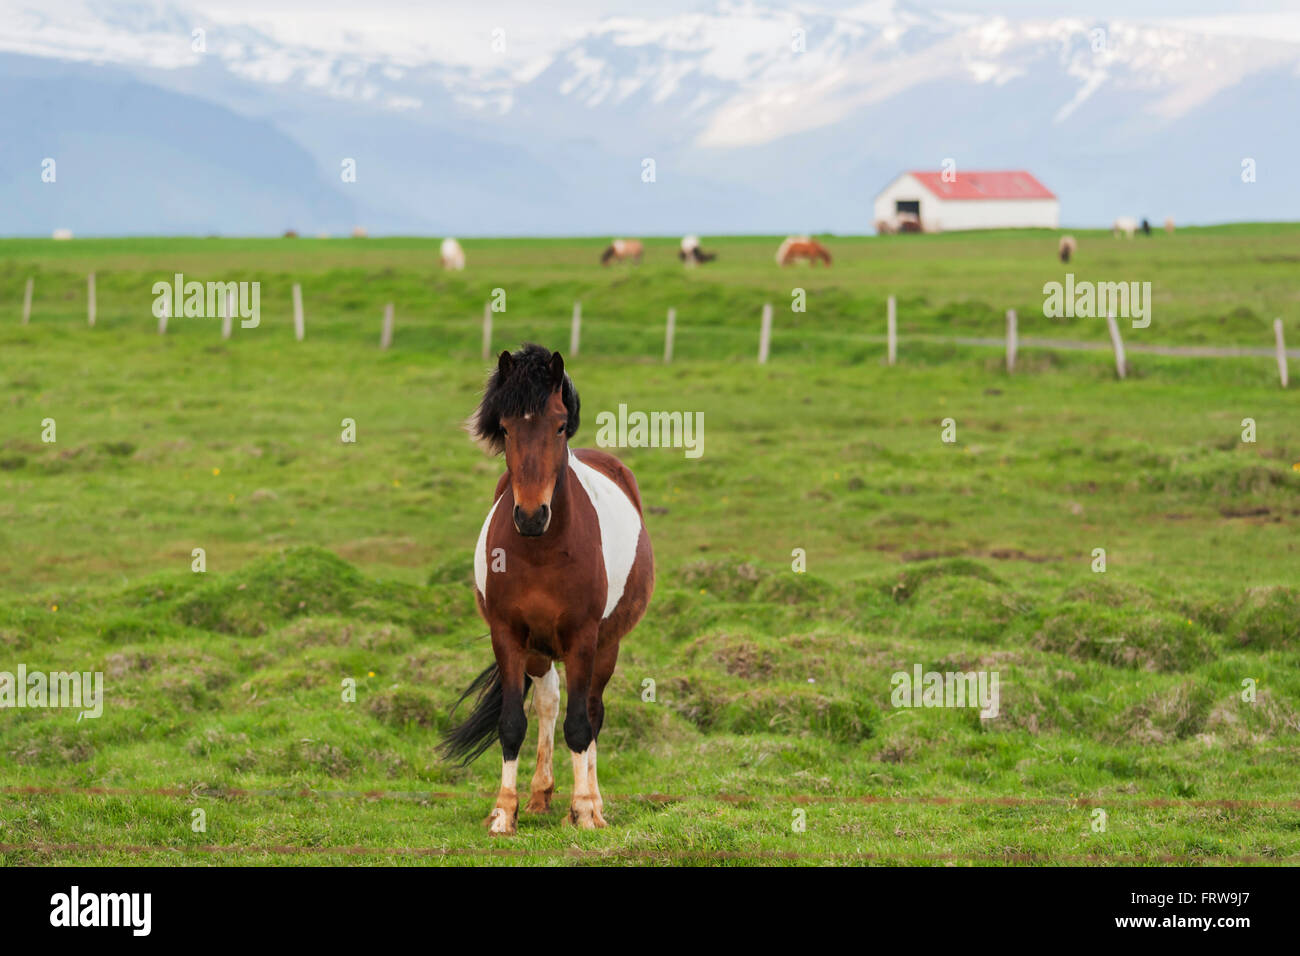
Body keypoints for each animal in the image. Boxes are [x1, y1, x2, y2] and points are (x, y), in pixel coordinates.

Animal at [440, 344, 655, 834]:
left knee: (591, 712)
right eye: (505, 427)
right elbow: (513, 724)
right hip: (539, 650)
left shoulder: (582, 638)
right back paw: (540, 795)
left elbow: (579, 726)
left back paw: (592, 801)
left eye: (558, 425)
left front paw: (585, 811)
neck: (543, 550)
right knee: (548, 703)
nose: (531, 515)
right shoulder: (509, 635)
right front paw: (505, 811)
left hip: (605, 646)